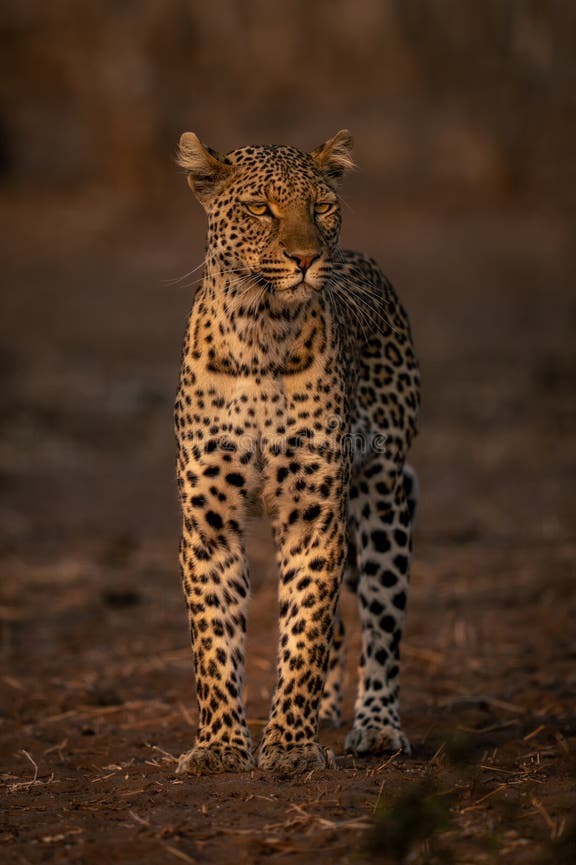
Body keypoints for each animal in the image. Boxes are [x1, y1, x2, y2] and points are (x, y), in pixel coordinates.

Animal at [173, 129, 420, 776]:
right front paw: (219, 747)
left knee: (380, 622)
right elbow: (214, 639)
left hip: (384, 496)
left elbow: (306, 628)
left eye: (322, 207)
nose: (307, 259)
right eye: (261, 209)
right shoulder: (208, 519)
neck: (262, 331)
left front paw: (289, 745)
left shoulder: (315, 513)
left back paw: (375, 726)